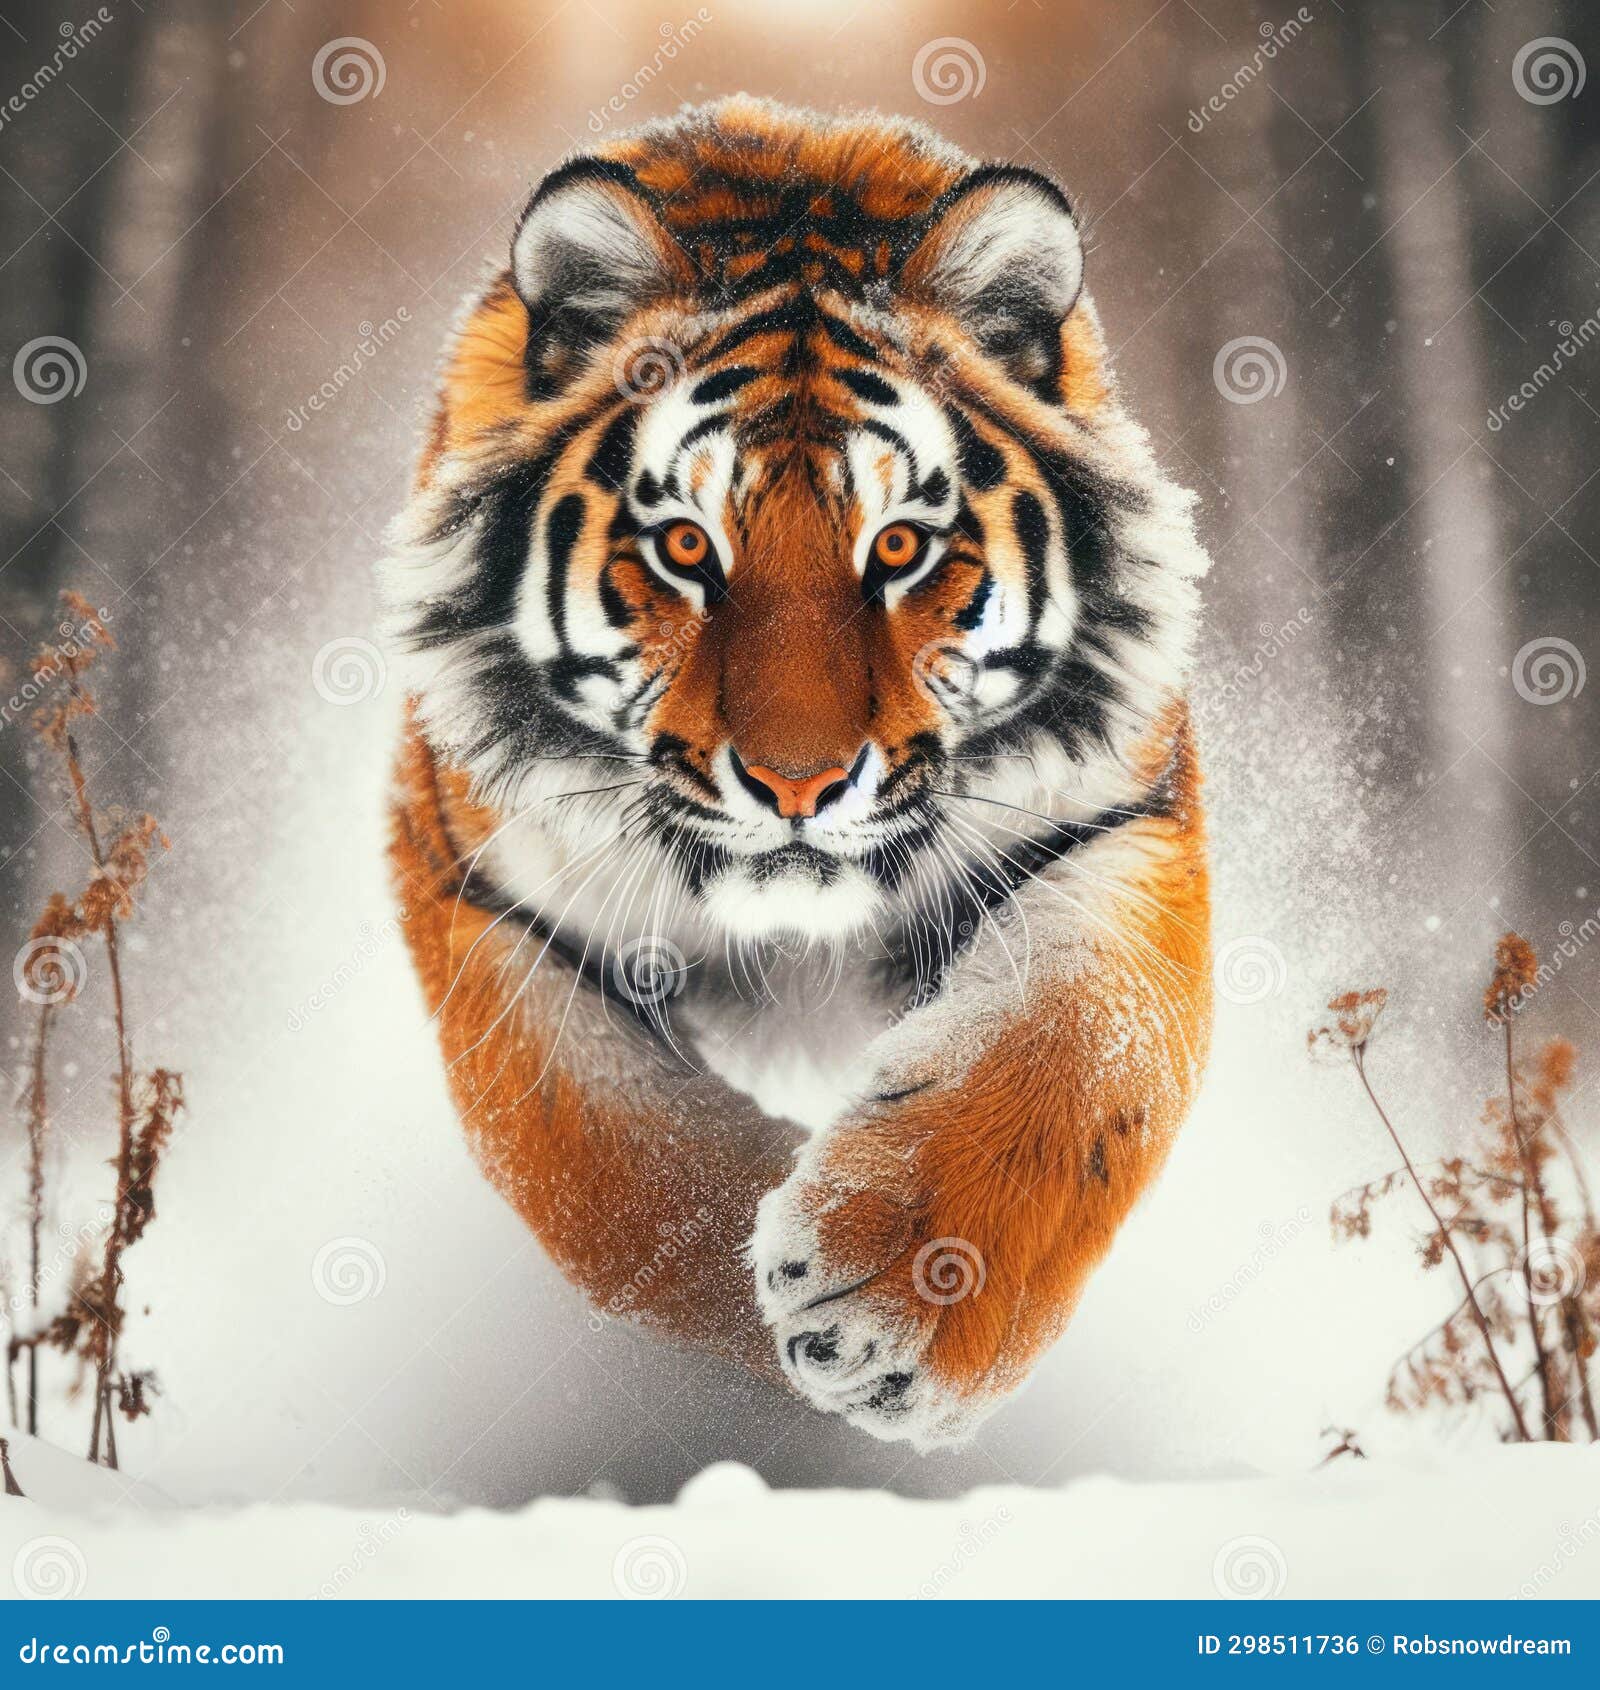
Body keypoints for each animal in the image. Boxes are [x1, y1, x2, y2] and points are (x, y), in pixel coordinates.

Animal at [381, 96, 1212, 1451]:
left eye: (900, 547)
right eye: (684, 548)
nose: (798, 787)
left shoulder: (1114, 815)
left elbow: (1083, 1041)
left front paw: (903, 1302)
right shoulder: (476, 883)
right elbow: (604, 1169)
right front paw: (776, 1296)